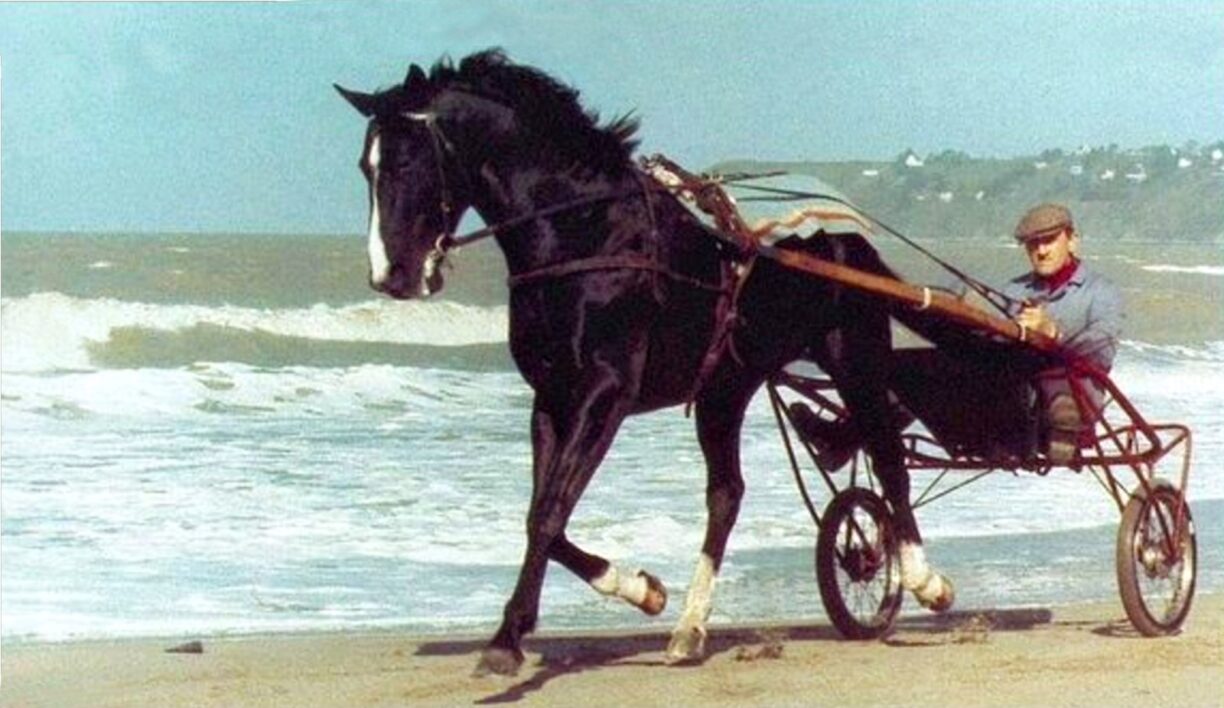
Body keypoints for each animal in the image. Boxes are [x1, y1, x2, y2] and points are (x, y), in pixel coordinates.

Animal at [335, 49, 955, 677]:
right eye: (366, 167)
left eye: (407, 162)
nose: (390, 276)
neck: (587, 235)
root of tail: (848, 228)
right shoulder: (552, 398)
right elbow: (542, 516)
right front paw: (641, 589)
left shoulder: (604, 393)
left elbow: (548, 513)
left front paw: (507, 640)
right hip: (725, 385)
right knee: (727, 494)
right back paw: (689, 626)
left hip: (853, 356)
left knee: (888, 460)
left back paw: (925, 581)